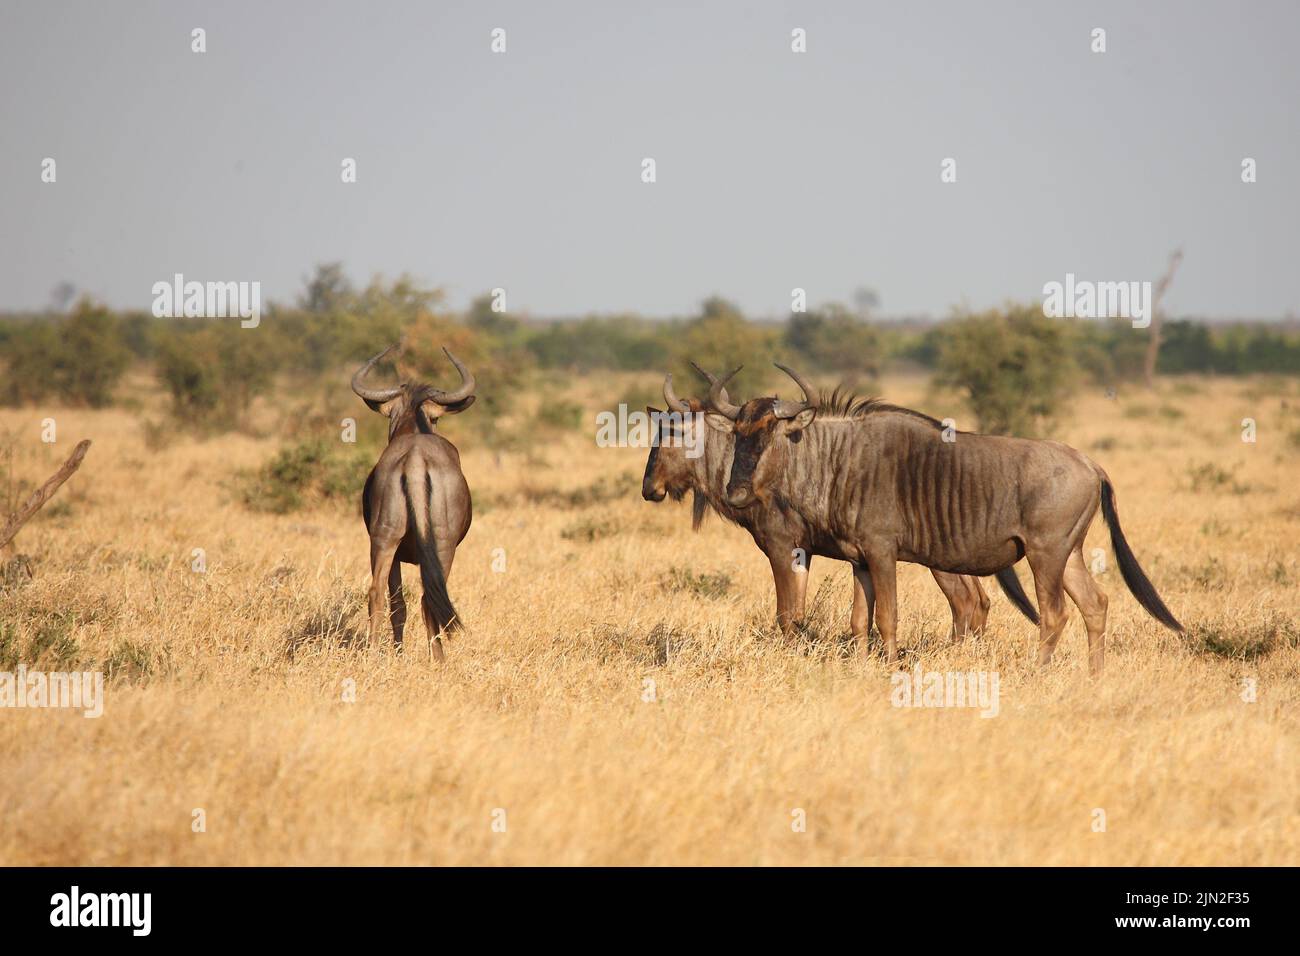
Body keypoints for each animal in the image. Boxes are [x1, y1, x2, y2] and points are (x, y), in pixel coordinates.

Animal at [351, 345, 477, 659]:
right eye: (436, 419)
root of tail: (415, 458)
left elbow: (397, 603)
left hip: (384, 539)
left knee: (377, 593)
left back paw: (373, 654)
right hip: (442, 546)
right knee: (429, 597)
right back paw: (438, 659)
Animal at [643, 365, 1037, 643]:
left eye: (672, 432)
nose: (650, 488)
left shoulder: (781, 546)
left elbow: (786, 613)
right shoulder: (805, 551)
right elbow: (798, 612)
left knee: (966, 602)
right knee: (979, 602)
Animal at [707, 363, 1181, 675]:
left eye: (770, 434)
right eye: (738, 435)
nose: (737, 493)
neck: (841, 458)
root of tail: (1089, 464)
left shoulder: (882, 553)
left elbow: (887, 616)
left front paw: (888, 668)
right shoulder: (859, 560)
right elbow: (859, 621)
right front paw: (861, 668)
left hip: (1045, 555)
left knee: (1054, 614)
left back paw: (1040, 673)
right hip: (1071, 555)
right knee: (1094, 604)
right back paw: (1094, 676)